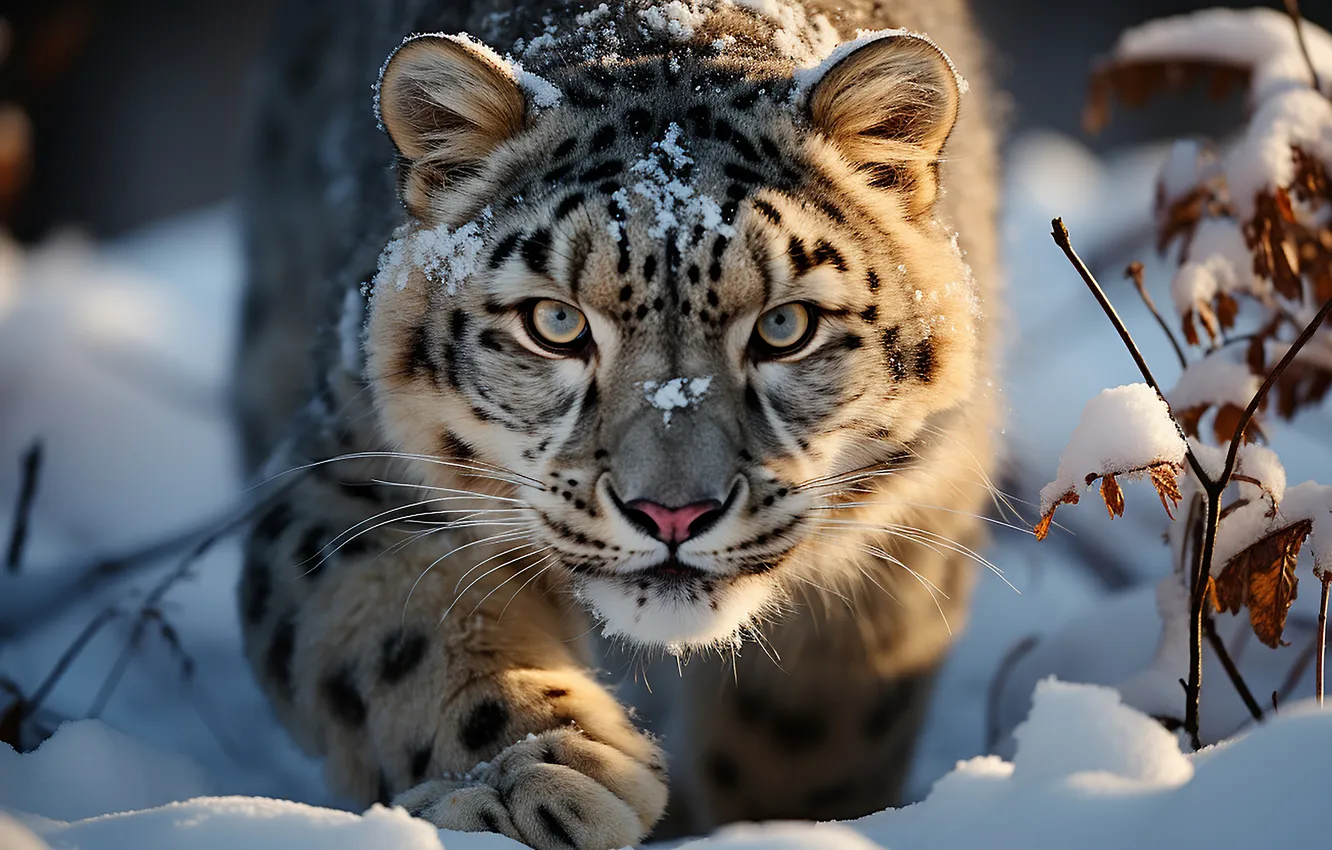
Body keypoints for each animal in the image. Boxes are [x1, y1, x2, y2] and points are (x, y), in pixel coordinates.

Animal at [234, 0, 1001, 847]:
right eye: (556, 323)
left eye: (786, 325)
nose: (673, 513)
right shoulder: (352, 470)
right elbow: (395, 633)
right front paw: (529, 778)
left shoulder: (910, 534)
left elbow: (809, 735)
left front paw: (777, 826)